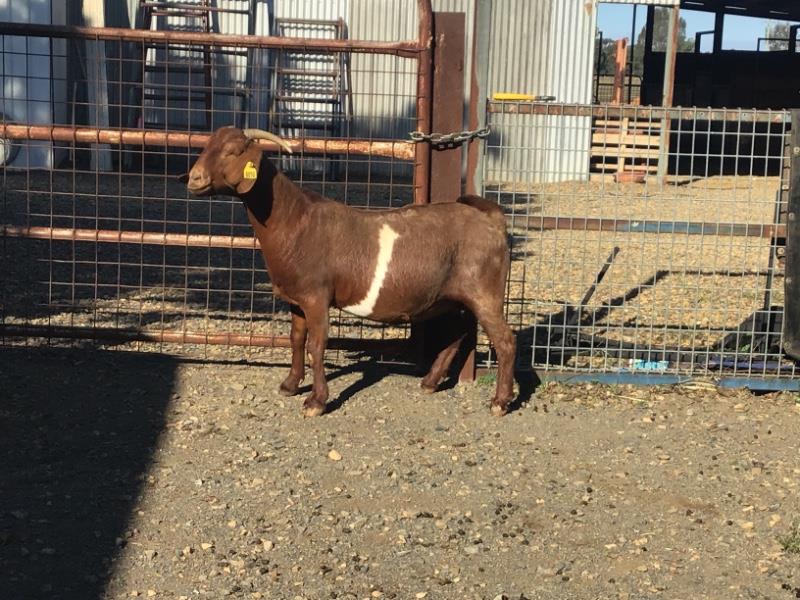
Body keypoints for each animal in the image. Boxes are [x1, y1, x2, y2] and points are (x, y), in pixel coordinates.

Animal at [182, 126, 516, 417]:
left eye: (233, 151)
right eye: (207, 146)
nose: (194, 178)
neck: (295, 221)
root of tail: (491, 218)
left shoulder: (317, 296)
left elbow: (317, 345)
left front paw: (316, 402)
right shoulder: (296, 299)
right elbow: (296, 339)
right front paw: (290, 385)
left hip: (484, 291)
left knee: (505, 340)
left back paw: (499, 402)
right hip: (452, 296)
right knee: (460, 332)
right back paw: (430, 382)